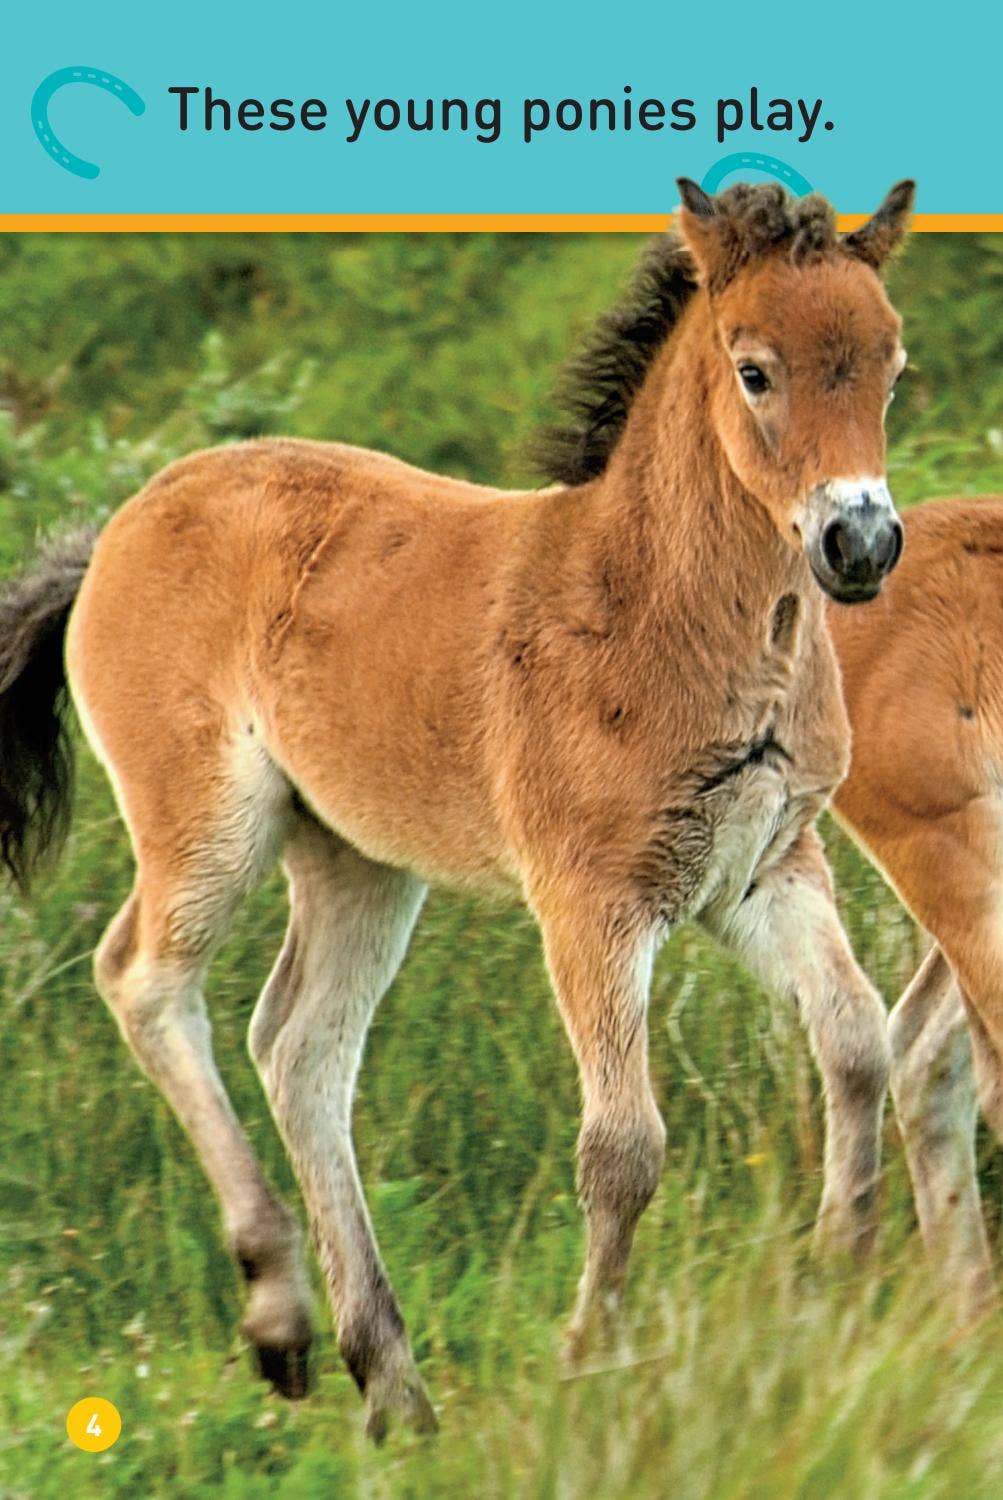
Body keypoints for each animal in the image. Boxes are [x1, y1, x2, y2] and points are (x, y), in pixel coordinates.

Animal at [0, 178, 913, 1441]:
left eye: (890, 369)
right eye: (753, 370)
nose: (858, 542)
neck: (656, 607)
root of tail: (116, 529)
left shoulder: (766, 869)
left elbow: (856, 1041)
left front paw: (839, 1288)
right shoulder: (590, 900)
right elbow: (624, 1147)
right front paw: (588, 1365)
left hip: (356, 860)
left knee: (301, 1047)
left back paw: (391, 1384)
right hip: (206, 822)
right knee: (144, 981)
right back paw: (281, 1321)